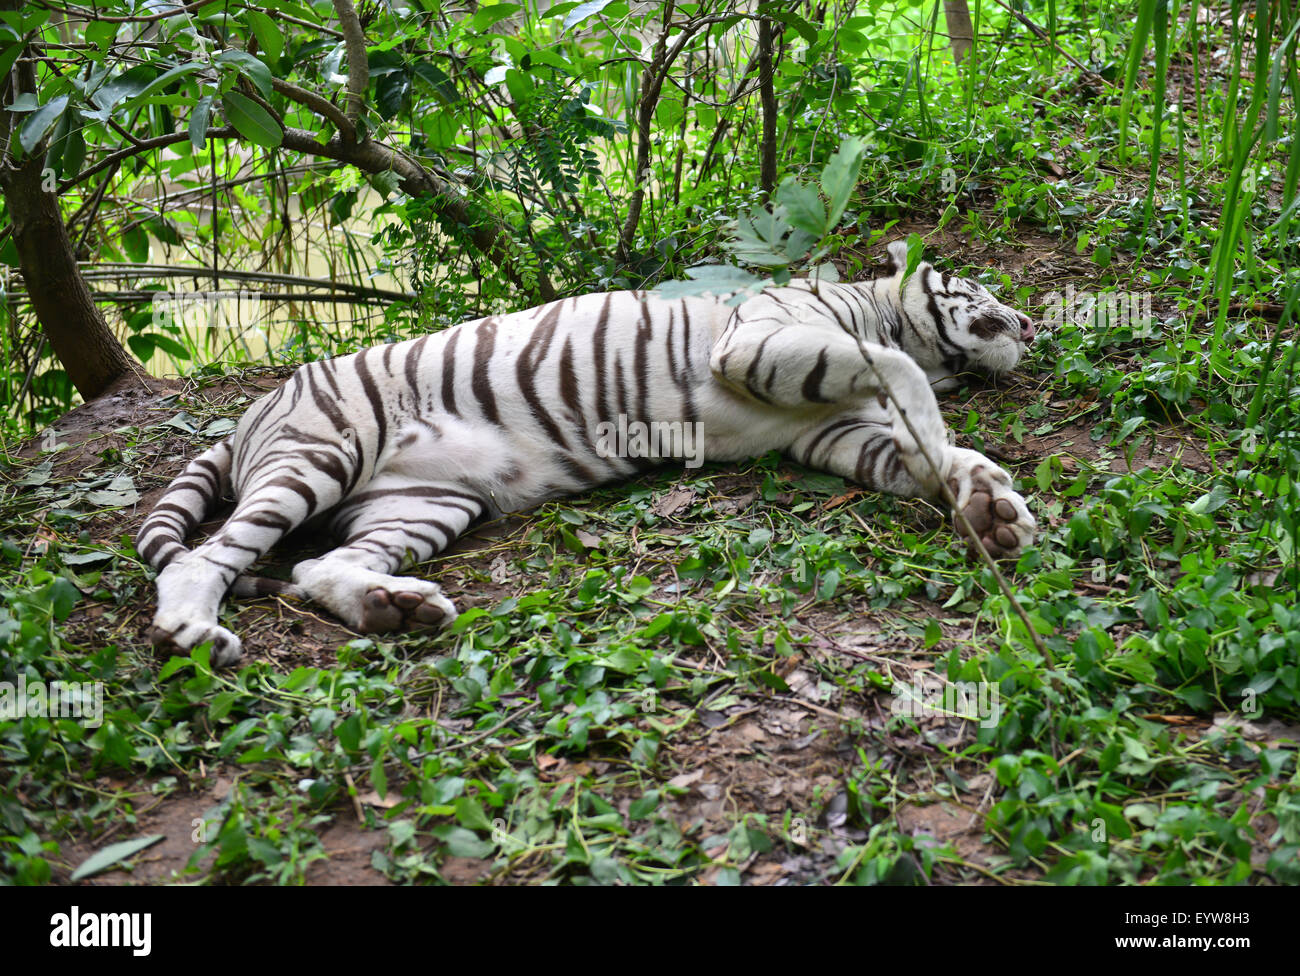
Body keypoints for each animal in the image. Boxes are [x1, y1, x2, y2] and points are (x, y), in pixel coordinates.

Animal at [137, 241, 1039, 667]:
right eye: (979, 289)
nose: (1033, 324)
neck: (879, 309)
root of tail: (254, 411)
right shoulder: (761, 345)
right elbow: (899, 380)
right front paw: (949, 445)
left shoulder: (829, 428)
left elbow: (917, 452)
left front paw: (990, 505)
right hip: (317, 458)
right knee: (207, 559)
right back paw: (193, 634)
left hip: (423, 503)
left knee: (316, 566)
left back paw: (399, 608)